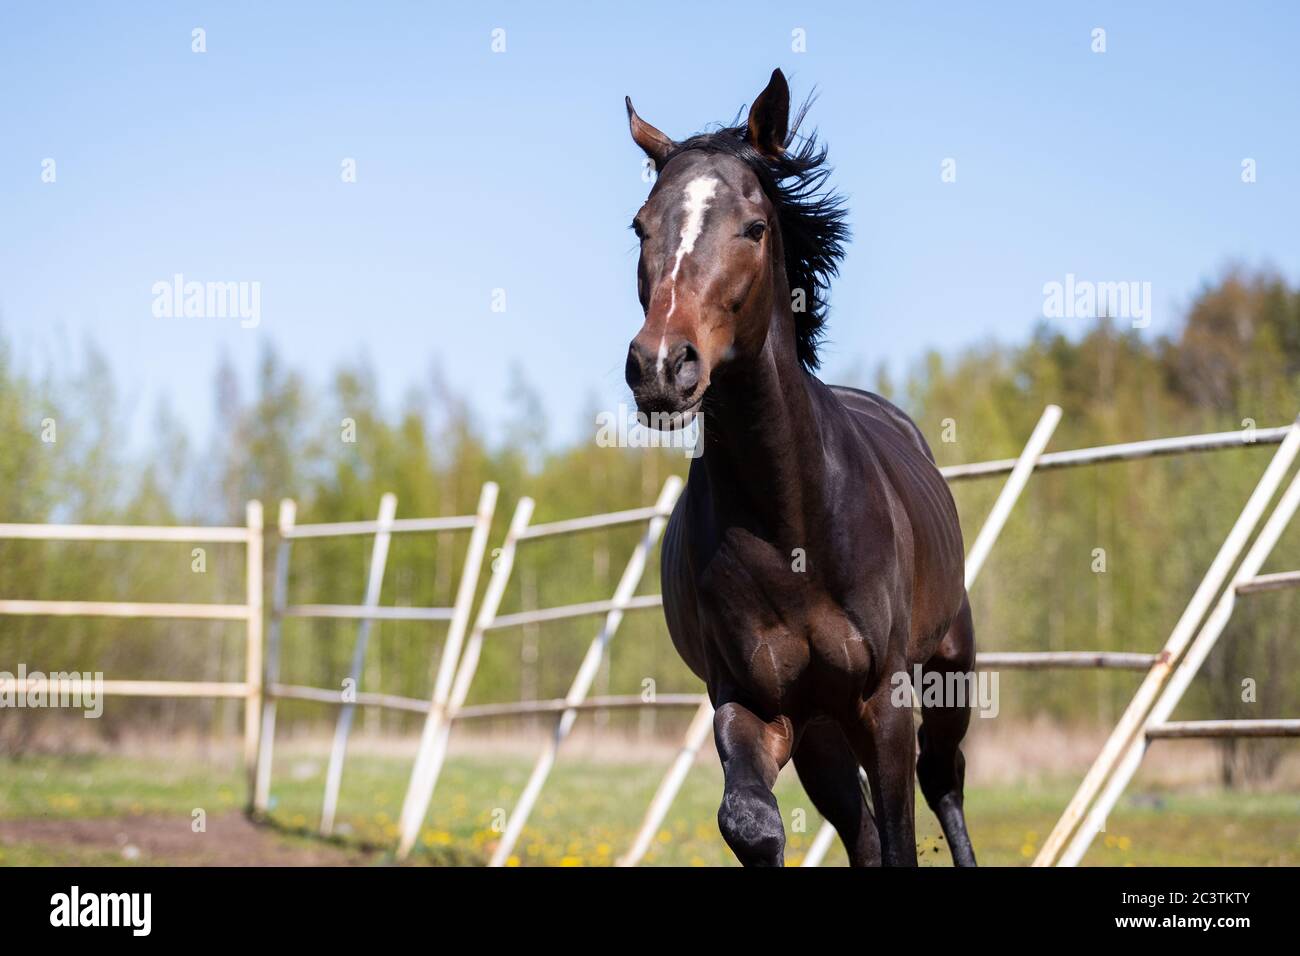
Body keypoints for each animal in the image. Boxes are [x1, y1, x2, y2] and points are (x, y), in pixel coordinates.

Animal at [622, 69, 977, 867]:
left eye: (753, 228)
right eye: (641, 226)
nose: (661, 367)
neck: (793, 525)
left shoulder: (883, 705)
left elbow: (902, 834)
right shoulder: (752, 705)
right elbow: (752, 823)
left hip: (949, 667)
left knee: (944, 781)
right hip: (820, 731)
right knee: (860, 825)